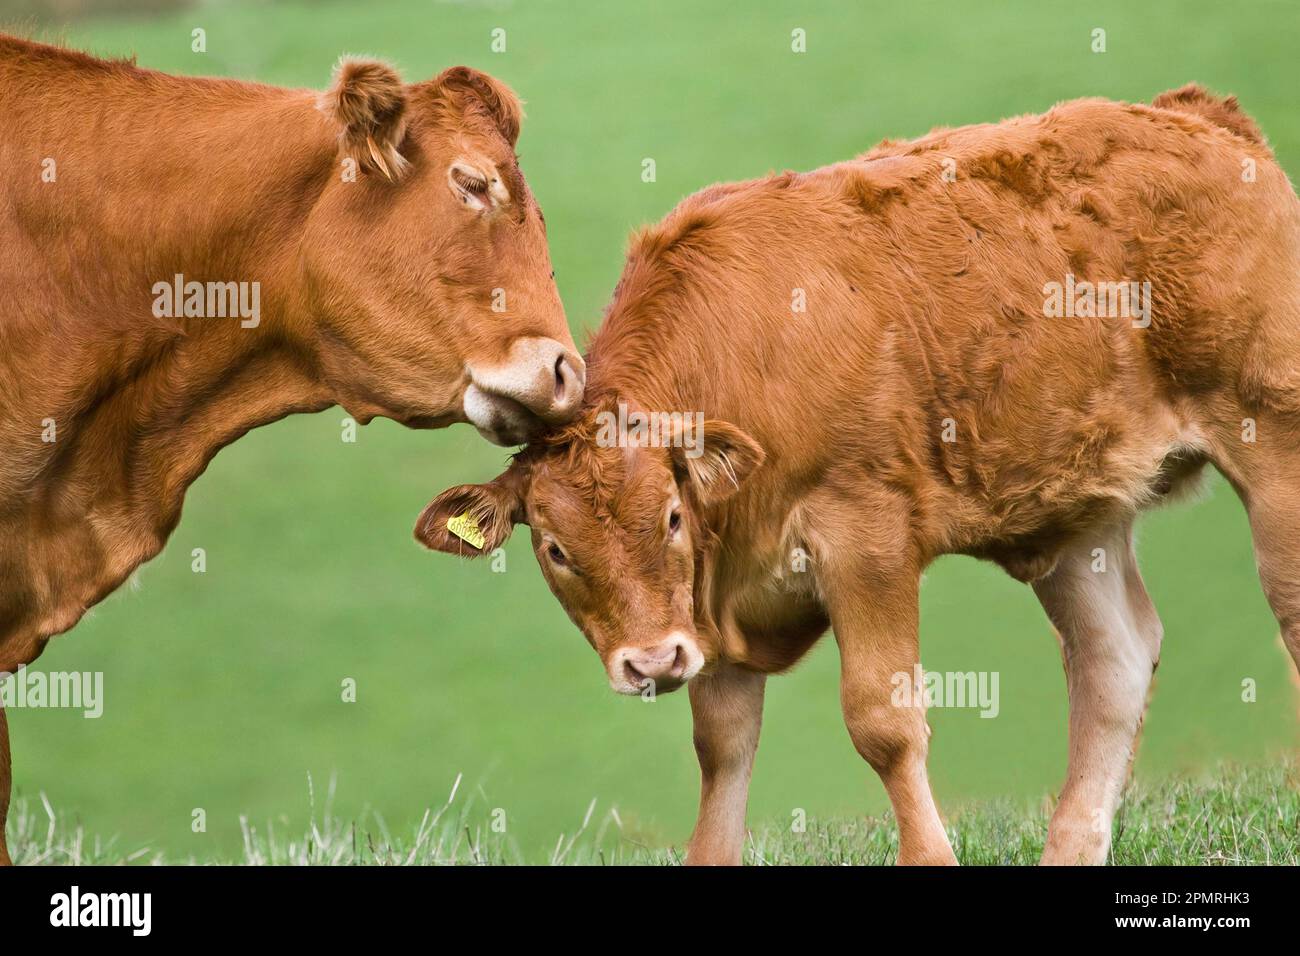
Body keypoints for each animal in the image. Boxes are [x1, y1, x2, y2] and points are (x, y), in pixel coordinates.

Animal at [417, 86, 1300, 865]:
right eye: (556, 550)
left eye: (667, 516)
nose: (652, 663)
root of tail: (1197, 116)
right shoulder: (714, 599)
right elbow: (722, 745)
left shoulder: (864, 535)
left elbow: (882, 721)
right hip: (1076, 509)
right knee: (1113, 658)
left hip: (1272, 439)